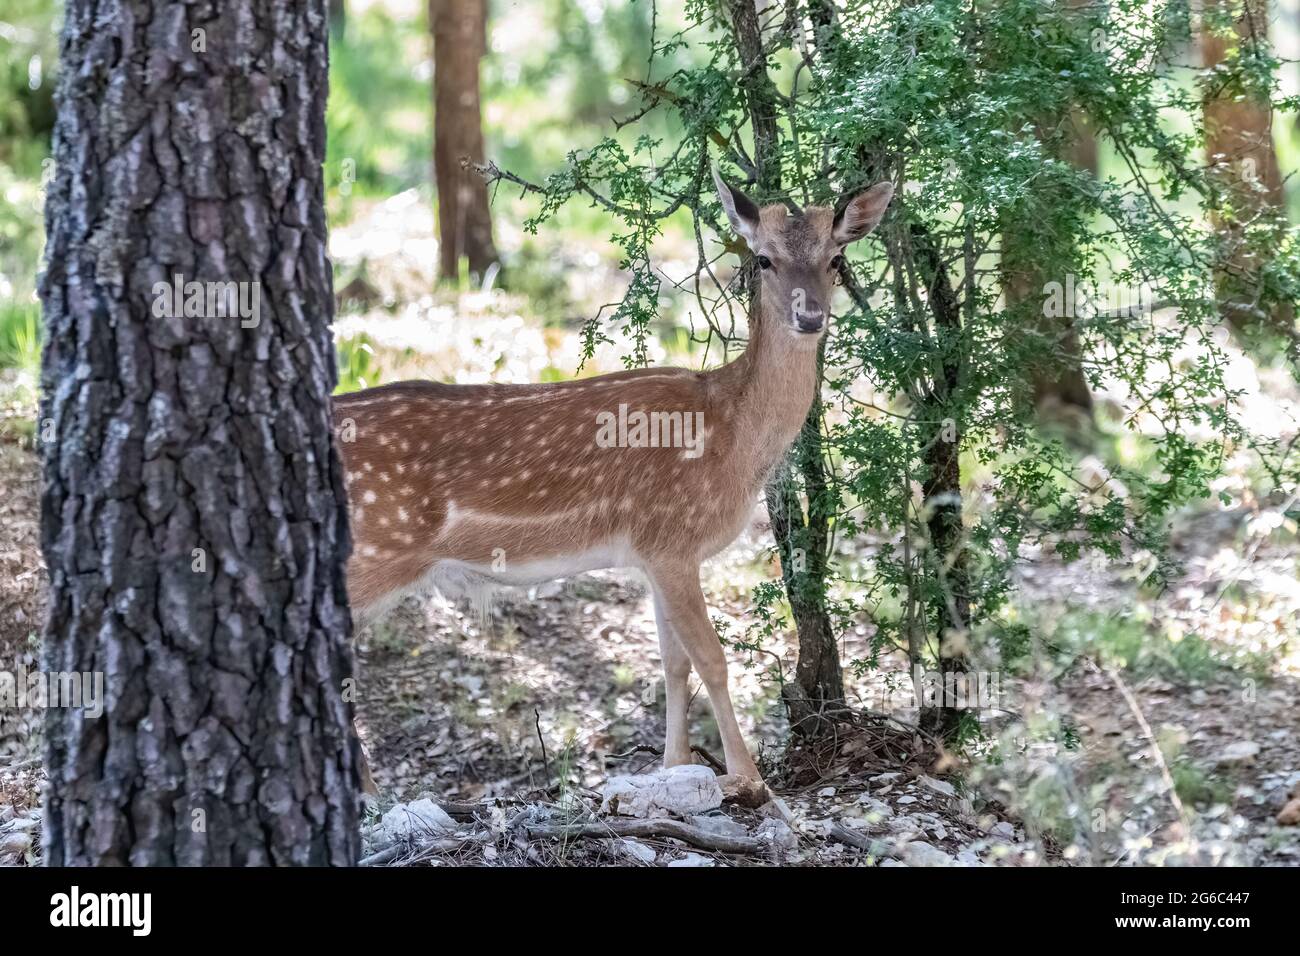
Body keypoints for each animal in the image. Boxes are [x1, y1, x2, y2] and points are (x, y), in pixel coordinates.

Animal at [333, 168, 894, 802]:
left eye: (836, 257)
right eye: (765, 259)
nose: (811, 317)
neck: (731, 436)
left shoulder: (653, 552)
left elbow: (673, 663)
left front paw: (674, 767)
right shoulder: (672, 537)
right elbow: (712, 658)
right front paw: (748, 779)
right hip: (370, 555)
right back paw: (371, 799)